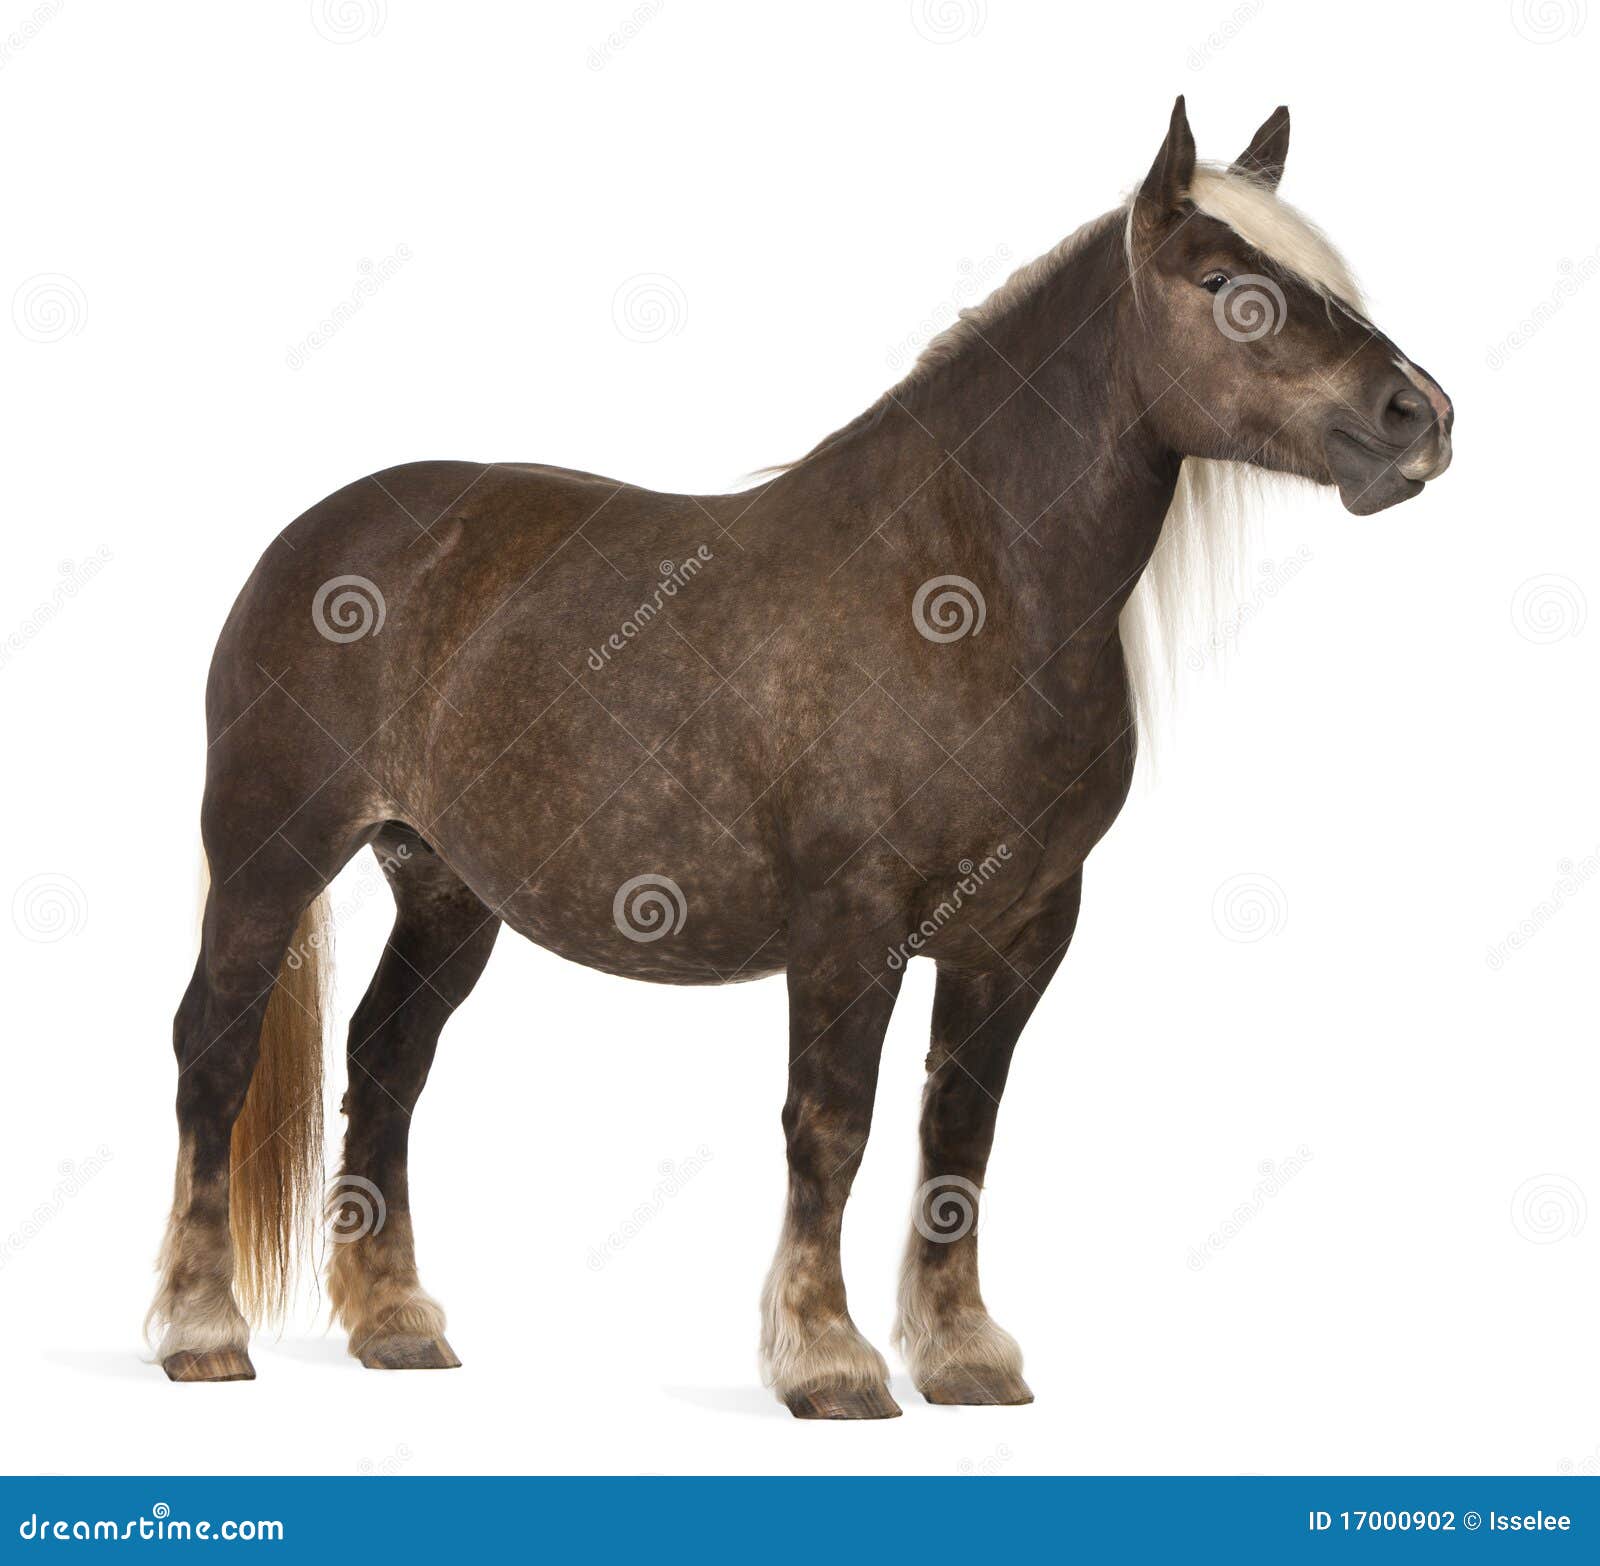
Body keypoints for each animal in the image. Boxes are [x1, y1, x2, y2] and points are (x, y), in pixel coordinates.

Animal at [147, 97, 1453, 1418]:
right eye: (1224, 282)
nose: (1420, 420)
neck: (960, 589)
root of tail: (316, 537)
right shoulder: (848, 927)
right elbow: (833, 1127)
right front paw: (829, 1361)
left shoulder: (1021, 932)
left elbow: (959, 1135)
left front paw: (964, 1353)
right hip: (271, 855)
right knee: (214, 1047)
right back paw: (202, 1332)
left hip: (445, 887)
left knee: (387, 1059)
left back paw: (397, 1324)